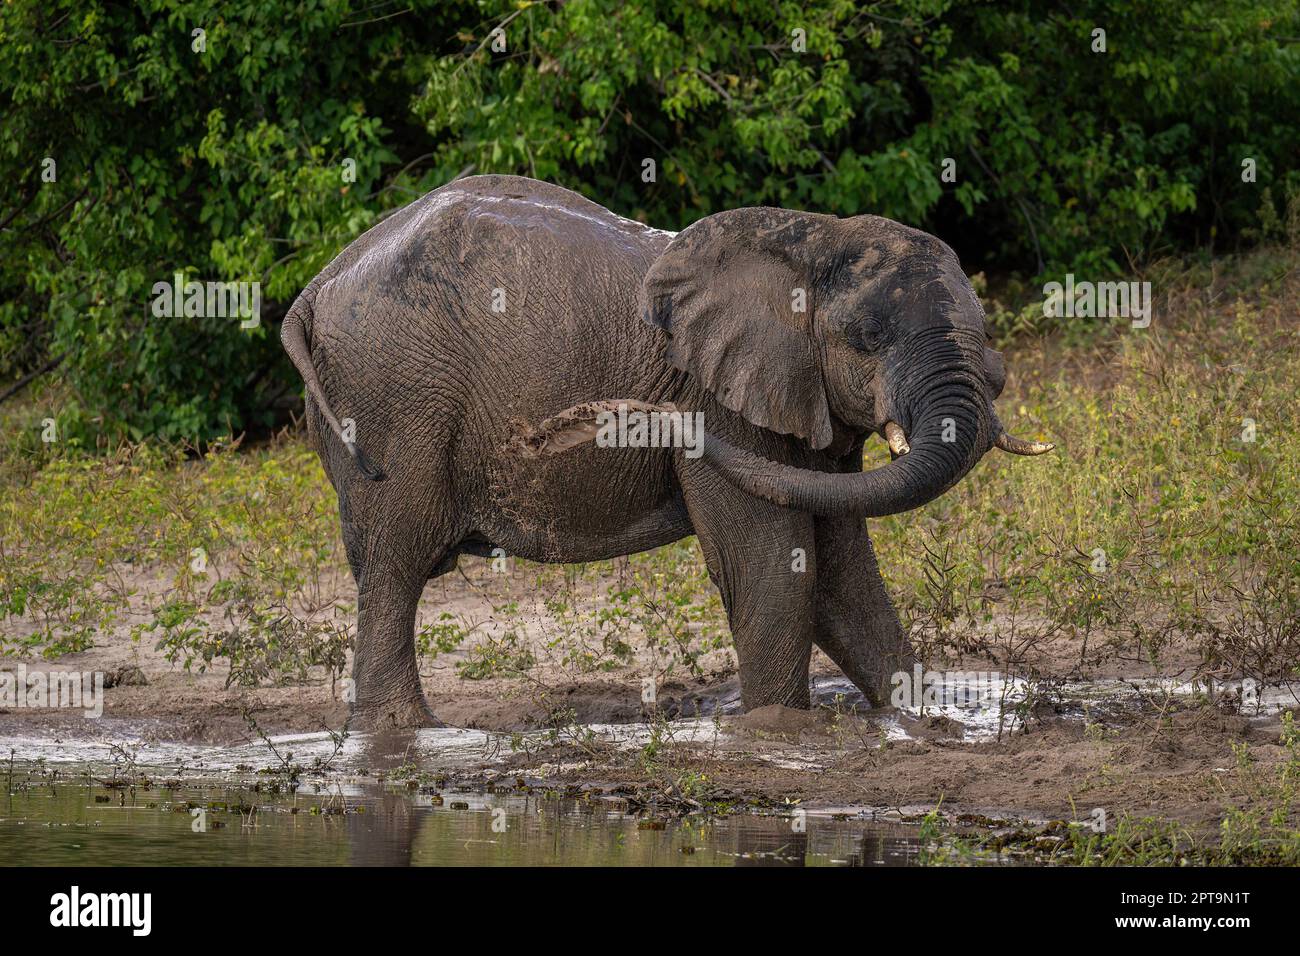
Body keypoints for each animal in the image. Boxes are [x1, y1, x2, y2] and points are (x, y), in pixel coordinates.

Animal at [281, 174, 1051, 730]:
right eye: (866, 339)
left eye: (986, 332)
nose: (564, 427)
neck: (810, 235)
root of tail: (314, 287)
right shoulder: (721, 396)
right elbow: (769, 557)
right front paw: (777, 732)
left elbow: (838, 565)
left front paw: (924, 717)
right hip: (396, 398)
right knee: (396, 561)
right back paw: (408, 734)